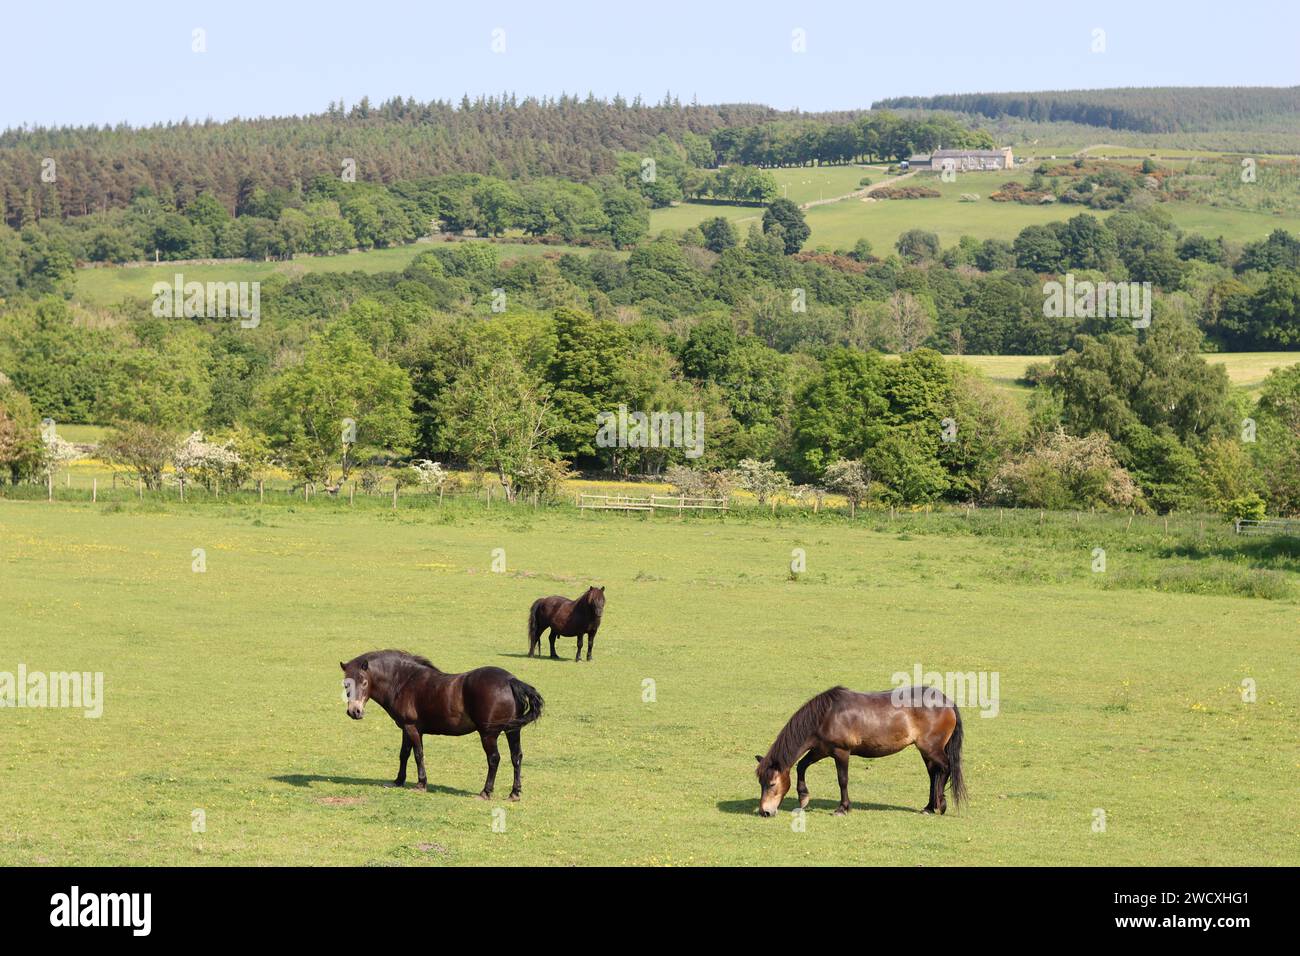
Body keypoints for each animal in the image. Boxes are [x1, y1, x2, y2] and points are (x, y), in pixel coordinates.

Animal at [339, 649, 544, 801]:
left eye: (364, 682)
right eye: (346, 685)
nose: (354, 711)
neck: (404, 681)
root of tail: (510, 680)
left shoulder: (412, 728)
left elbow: (418, 754)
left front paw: (421, 783)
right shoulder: (406, 728)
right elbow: (404, 754)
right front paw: (398, 781)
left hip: (488, 734)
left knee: (494, 759)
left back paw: (486, 791)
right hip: (512, 730)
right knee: (516, 757)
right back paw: (514, 793)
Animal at [755, 685, 965, 817]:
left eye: (772, 784)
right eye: (761, 783)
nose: (765, 812)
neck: (827, 715)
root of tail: (946, 702)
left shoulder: (841, 752)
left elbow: (842, 780)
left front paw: (842, 808)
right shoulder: (821, 750)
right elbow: (801, 766)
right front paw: (804, 798)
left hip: (931, 749)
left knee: (946, 768)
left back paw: (940, 804)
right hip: (926, 751)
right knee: (934, 774)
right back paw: (929, 807)